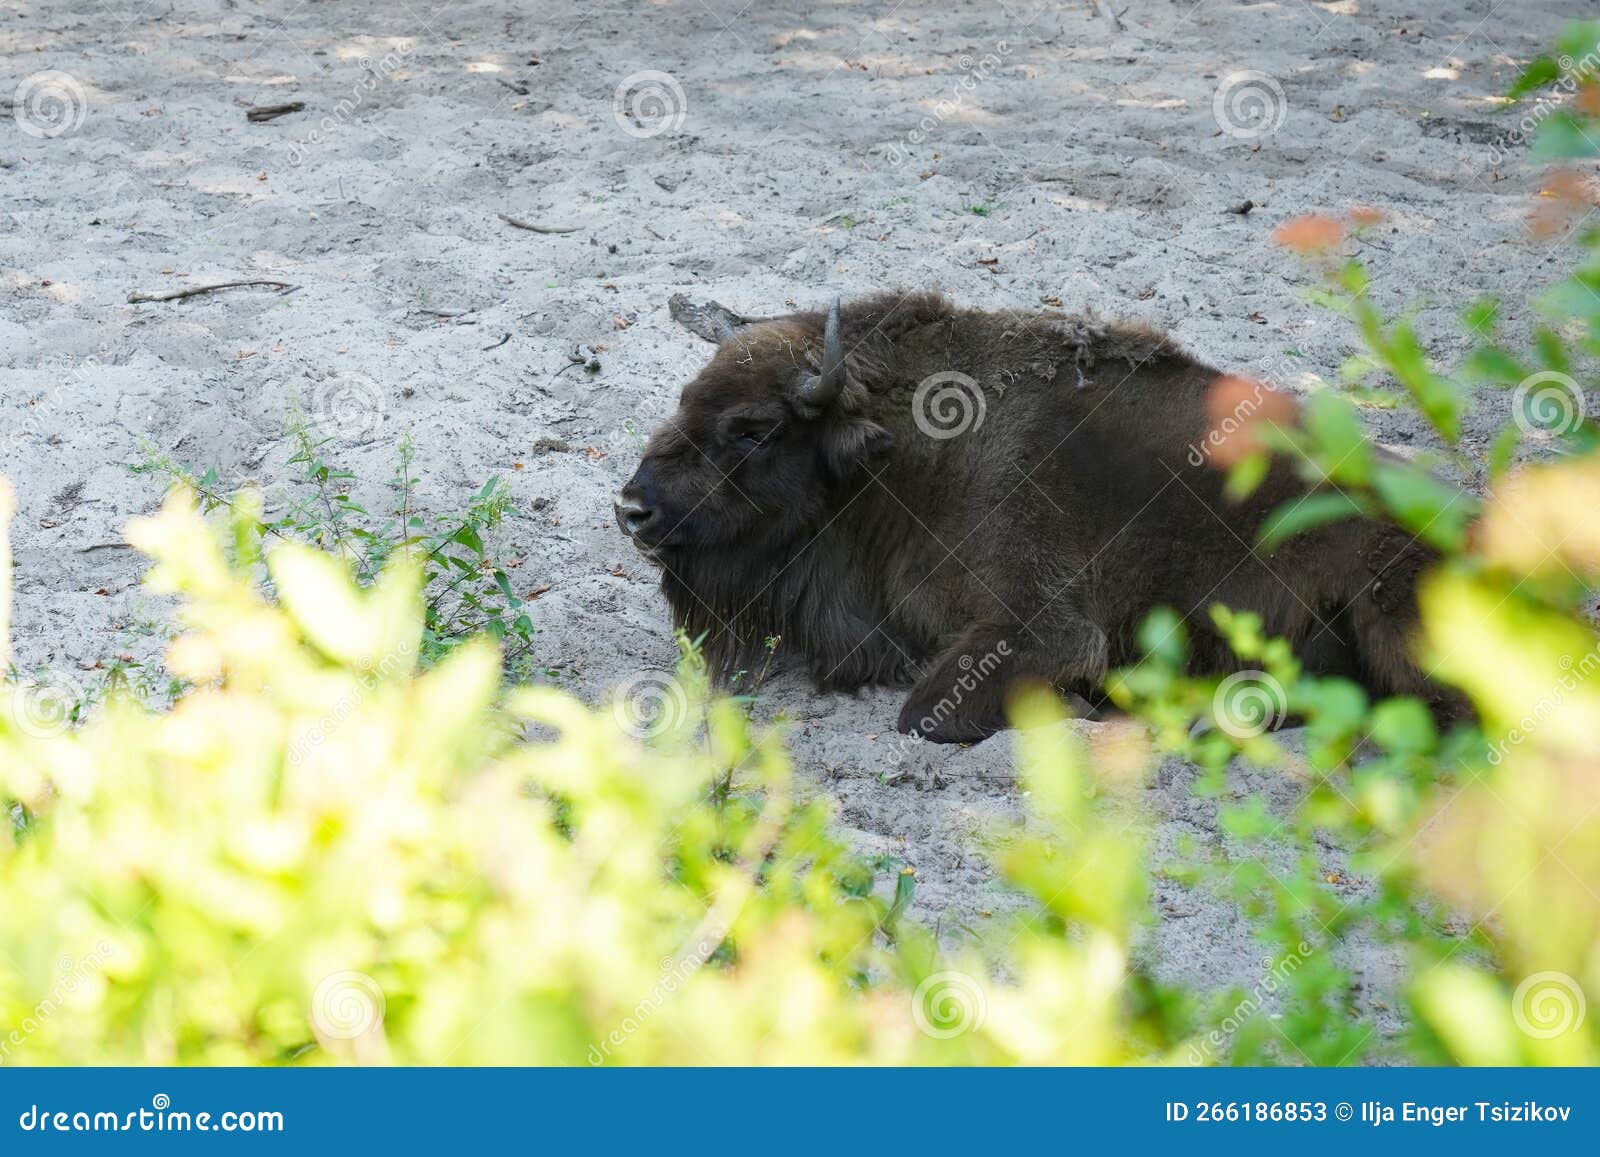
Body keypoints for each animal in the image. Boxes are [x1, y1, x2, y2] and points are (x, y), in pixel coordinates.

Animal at [615, 291, 1446, 742]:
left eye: (752, 429)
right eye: (685, 398)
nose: (632, 507)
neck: (899, 460)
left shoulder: (1042, 626)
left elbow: (925, 710)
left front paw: (1087, 706)